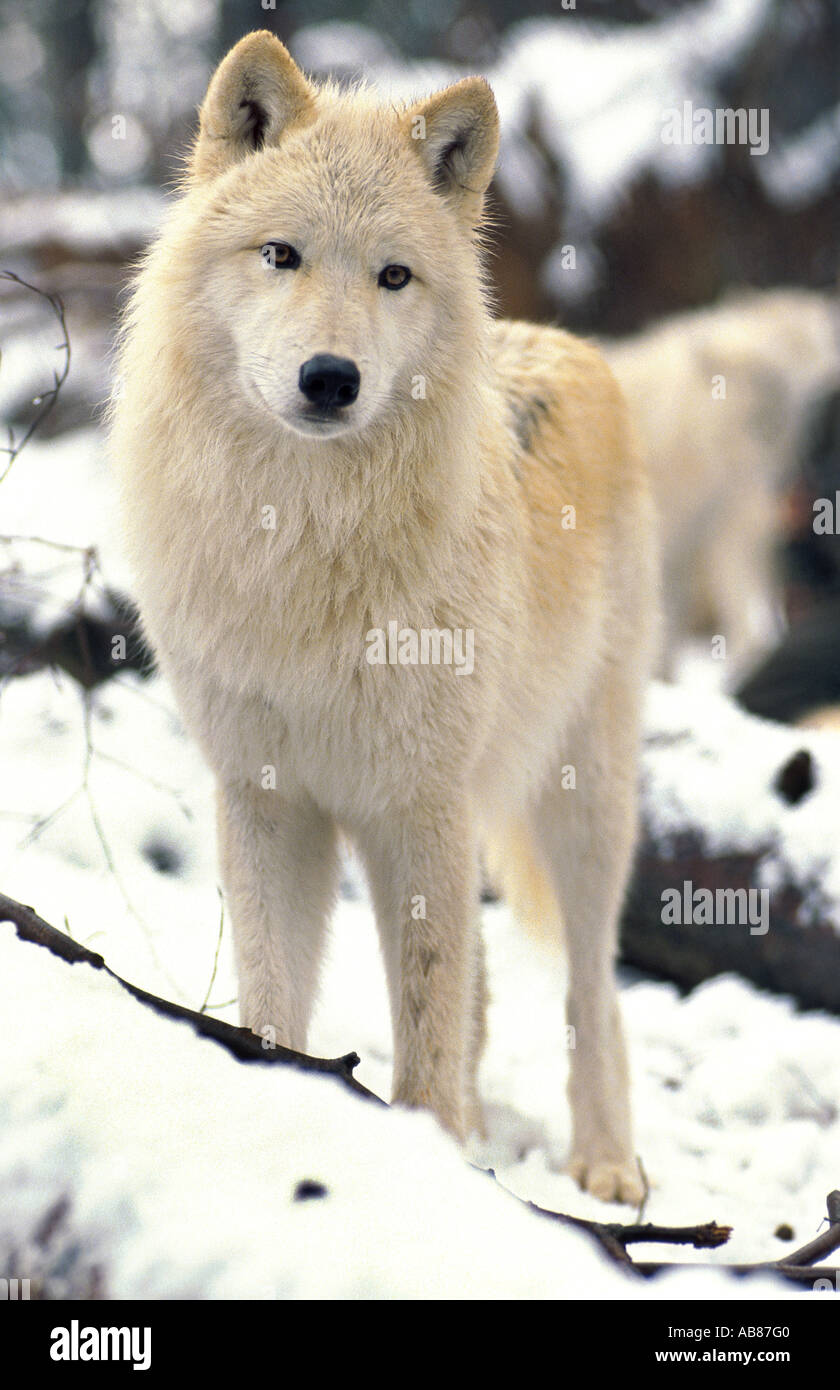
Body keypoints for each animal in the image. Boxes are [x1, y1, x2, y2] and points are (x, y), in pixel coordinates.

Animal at [110, 31, 658, 1204]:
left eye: (393, 276)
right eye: (281, 255)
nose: (331, 378)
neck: (303, 546)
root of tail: (567, 344)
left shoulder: (417, 809)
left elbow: (429, 1013)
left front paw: (429, 1155)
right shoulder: (271, 798)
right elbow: (278, 990)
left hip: (580, 804)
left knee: (590, 987)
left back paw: (604, 1167)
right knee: (494, 987)